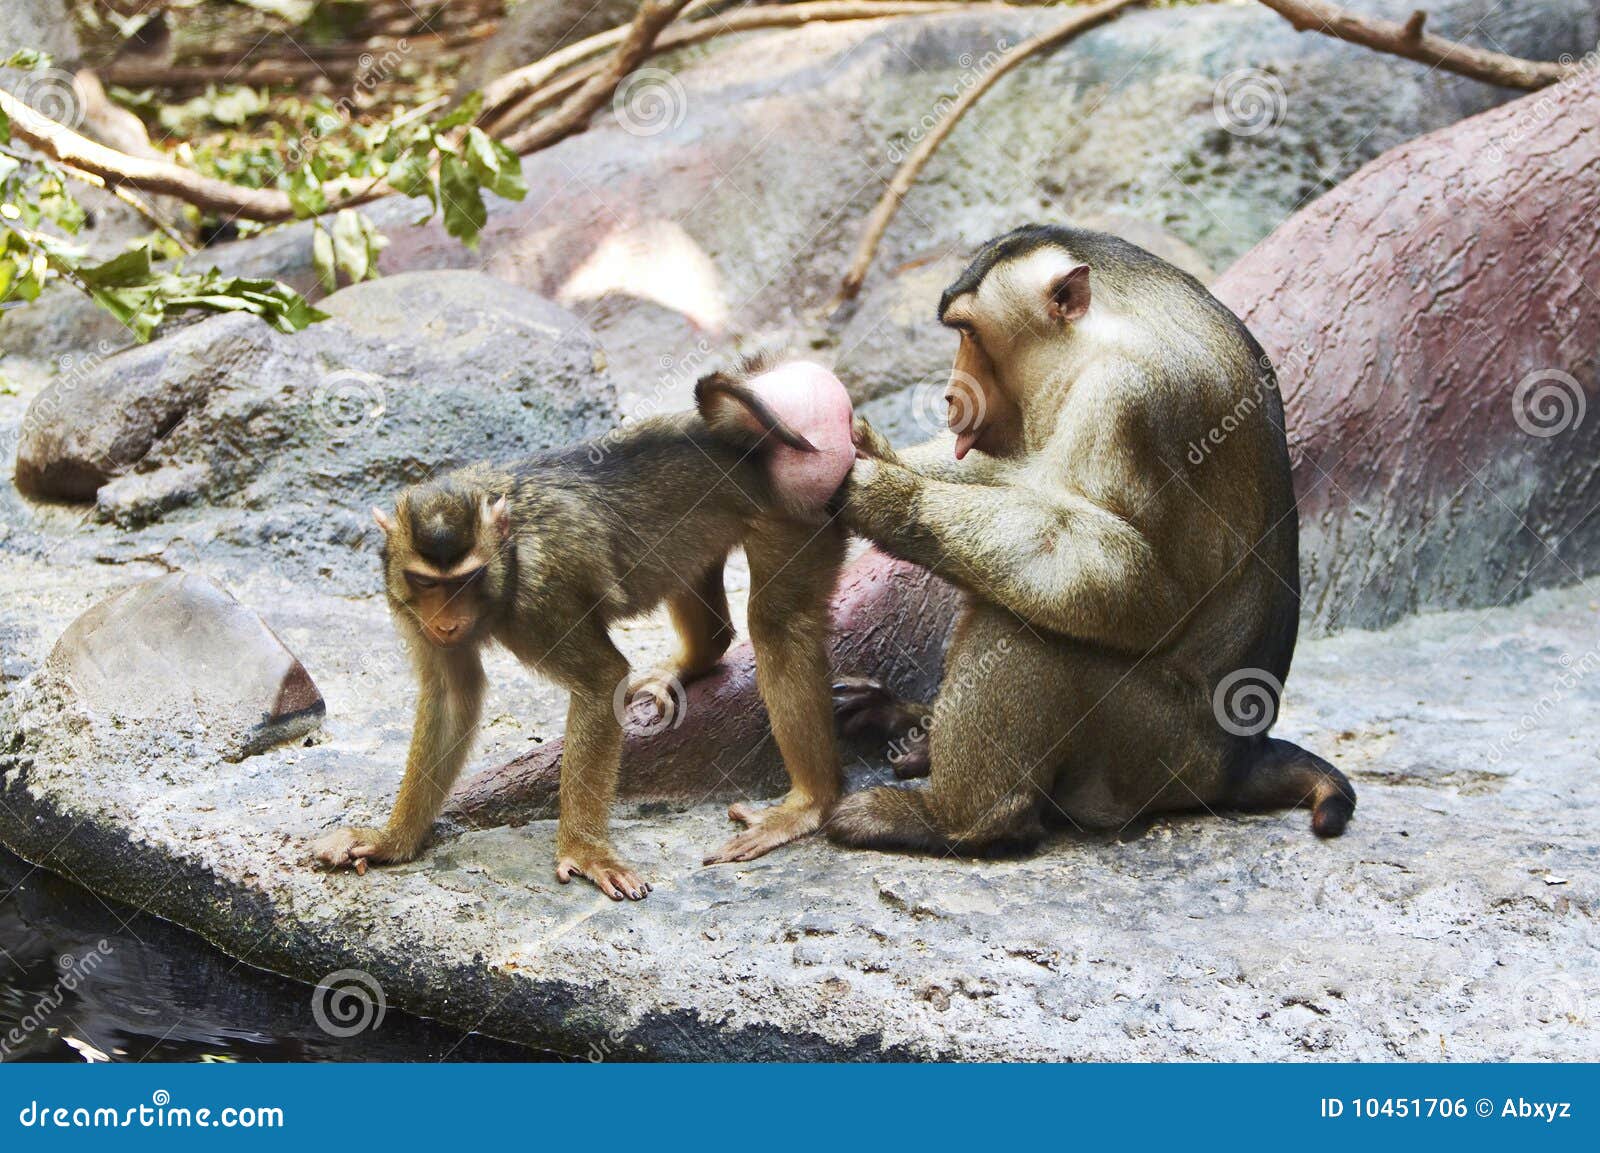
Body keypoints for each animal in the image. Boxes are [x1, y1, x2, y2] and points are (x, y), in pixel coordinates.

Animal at [311, 356, 848, 899]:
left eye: (468, 580)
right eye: (425, 581)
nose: (446, 621)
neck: (508, 558)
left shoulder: (542, 599)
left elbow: (602, 679)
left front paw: (585, 850)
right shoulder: (406, 605)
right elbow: (450, 695)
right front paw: (392, 839)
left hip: (793, 513)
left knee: (778, 626)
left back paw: (810, 800)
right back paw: (694, 661)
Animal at [829, 224, 1355, 854]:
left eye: (969, 333)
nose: (954, 396)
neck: (1102, 332)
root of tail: (1235, 760)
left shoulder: (1122, 402)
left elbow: (1124, 576)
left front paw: (885, 496)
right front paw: (871, 450)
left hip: (1149, 751)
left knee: (1032, 621)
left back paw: (959, 822)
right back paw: (916, 731)